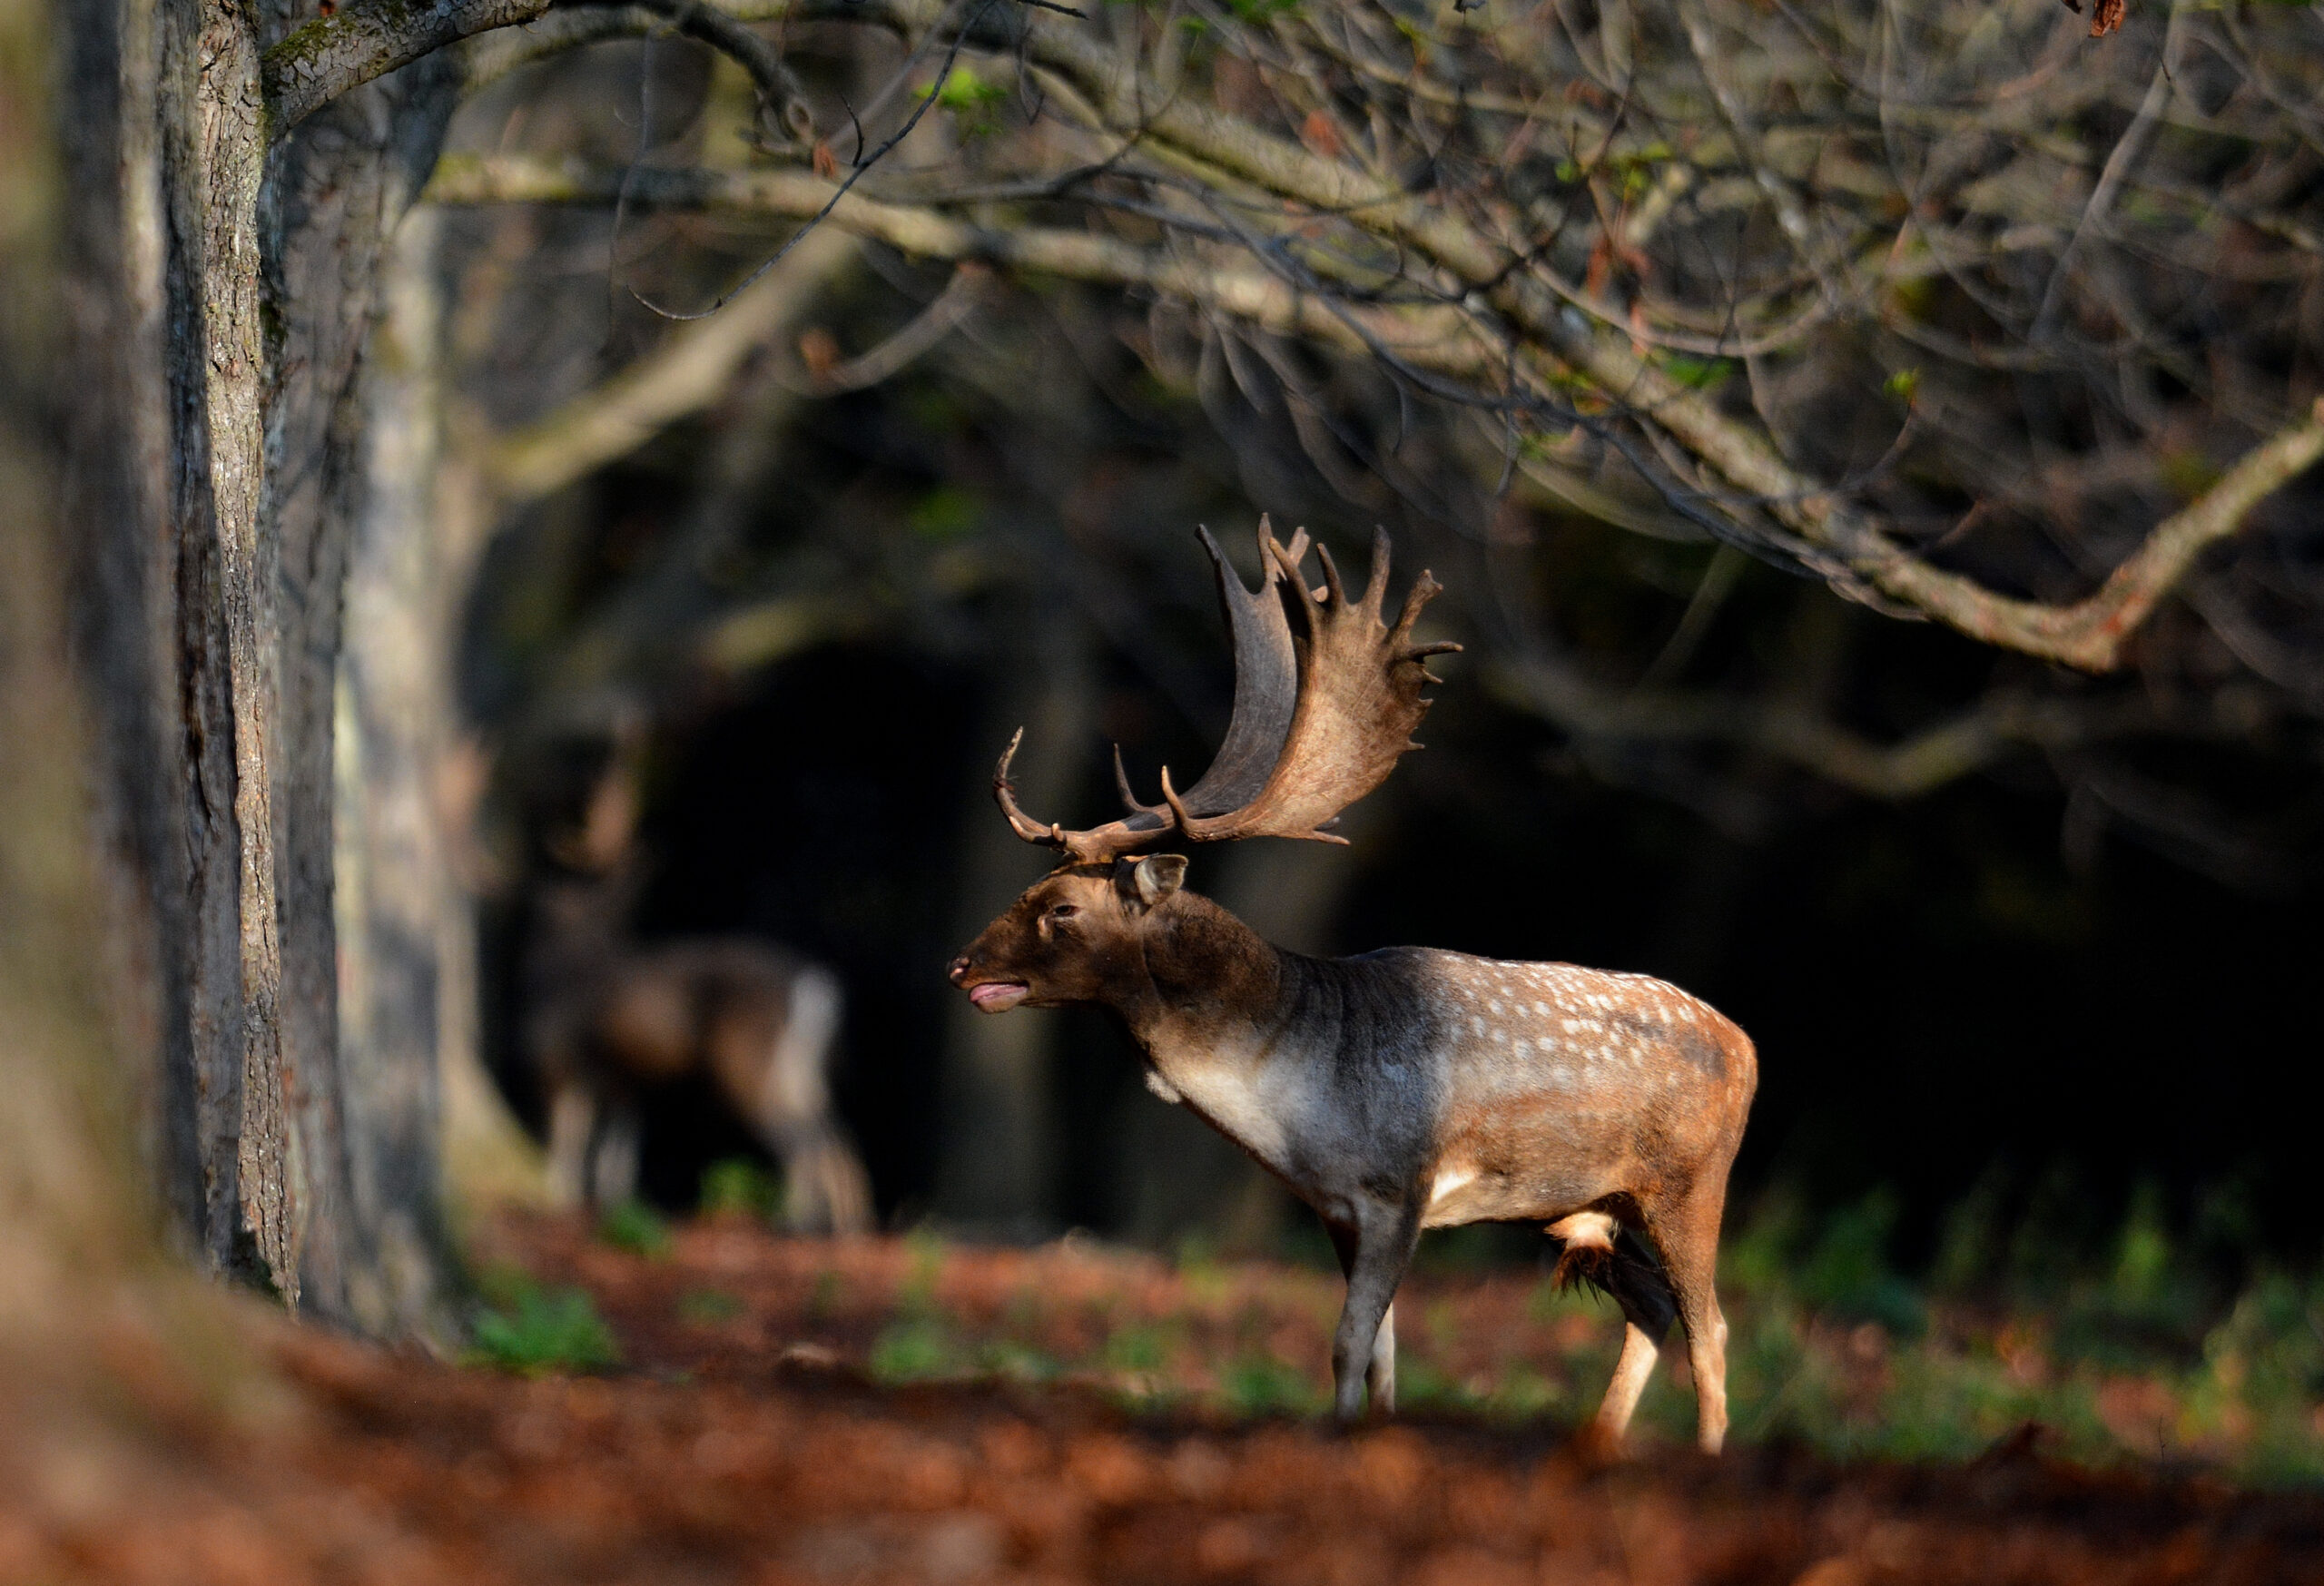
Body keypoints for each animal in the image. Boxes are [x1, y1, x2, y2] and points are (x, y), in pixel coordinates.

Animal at [519, 727, 874, 1236]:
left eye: (550, 868)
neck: (558, 963)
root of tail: (818, 985)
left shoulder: (556, 1058)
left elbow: (567, 1143)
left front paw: (556, 1201)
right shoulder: (626, 1082)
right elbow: (616, 1156)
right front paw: (609, 1205)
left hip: (749, 1060)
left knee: (803, 1141)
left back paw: (797, 1222)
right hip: (800, 1067)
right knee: (838, 1136)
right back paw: (851, 1228)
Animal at [947, 522, 1756, 1454]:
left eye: (1063, 908)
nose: (961, 966)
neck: (1299, 1102)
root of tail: (1749, 1047)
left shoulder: (1400, 1186)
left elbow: (1347, 1341)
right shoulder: (1339, 1207)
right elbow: (1379, 1353)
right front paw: (1372, 1430)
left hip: (1689, 1183)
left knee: (1712, 1325)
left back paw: (1703, 1454)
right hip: (1588, 1208)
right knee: (1654, 1309)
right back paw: (1599, 1443)